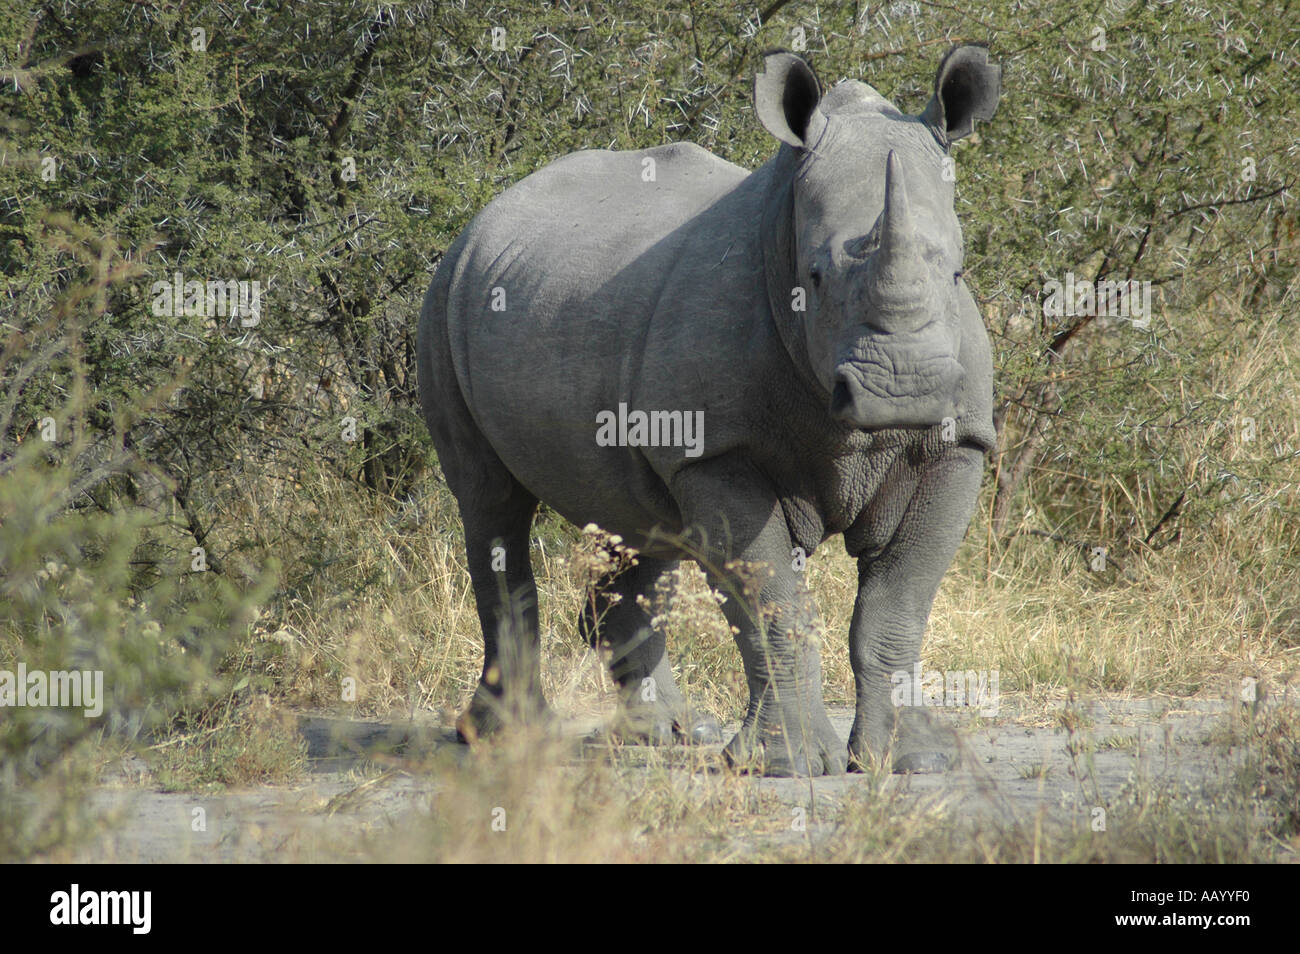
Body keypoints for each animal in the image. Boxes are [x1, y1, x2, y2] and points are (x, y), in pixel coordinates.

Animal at [417, 46, 1001, 776]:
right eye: (813, 278)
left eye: (958, 274)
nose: (903, 392)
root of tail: (484, 216)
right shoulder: (719, 452)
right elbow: (773, 605)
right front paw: (783, 766)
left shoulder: (957, 443)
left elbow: (898, 607)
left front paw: (910, 761)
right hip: (443, 300)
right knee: (491, 504)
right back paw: (504, 739)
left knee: (641, 521)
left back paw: (663, 736)